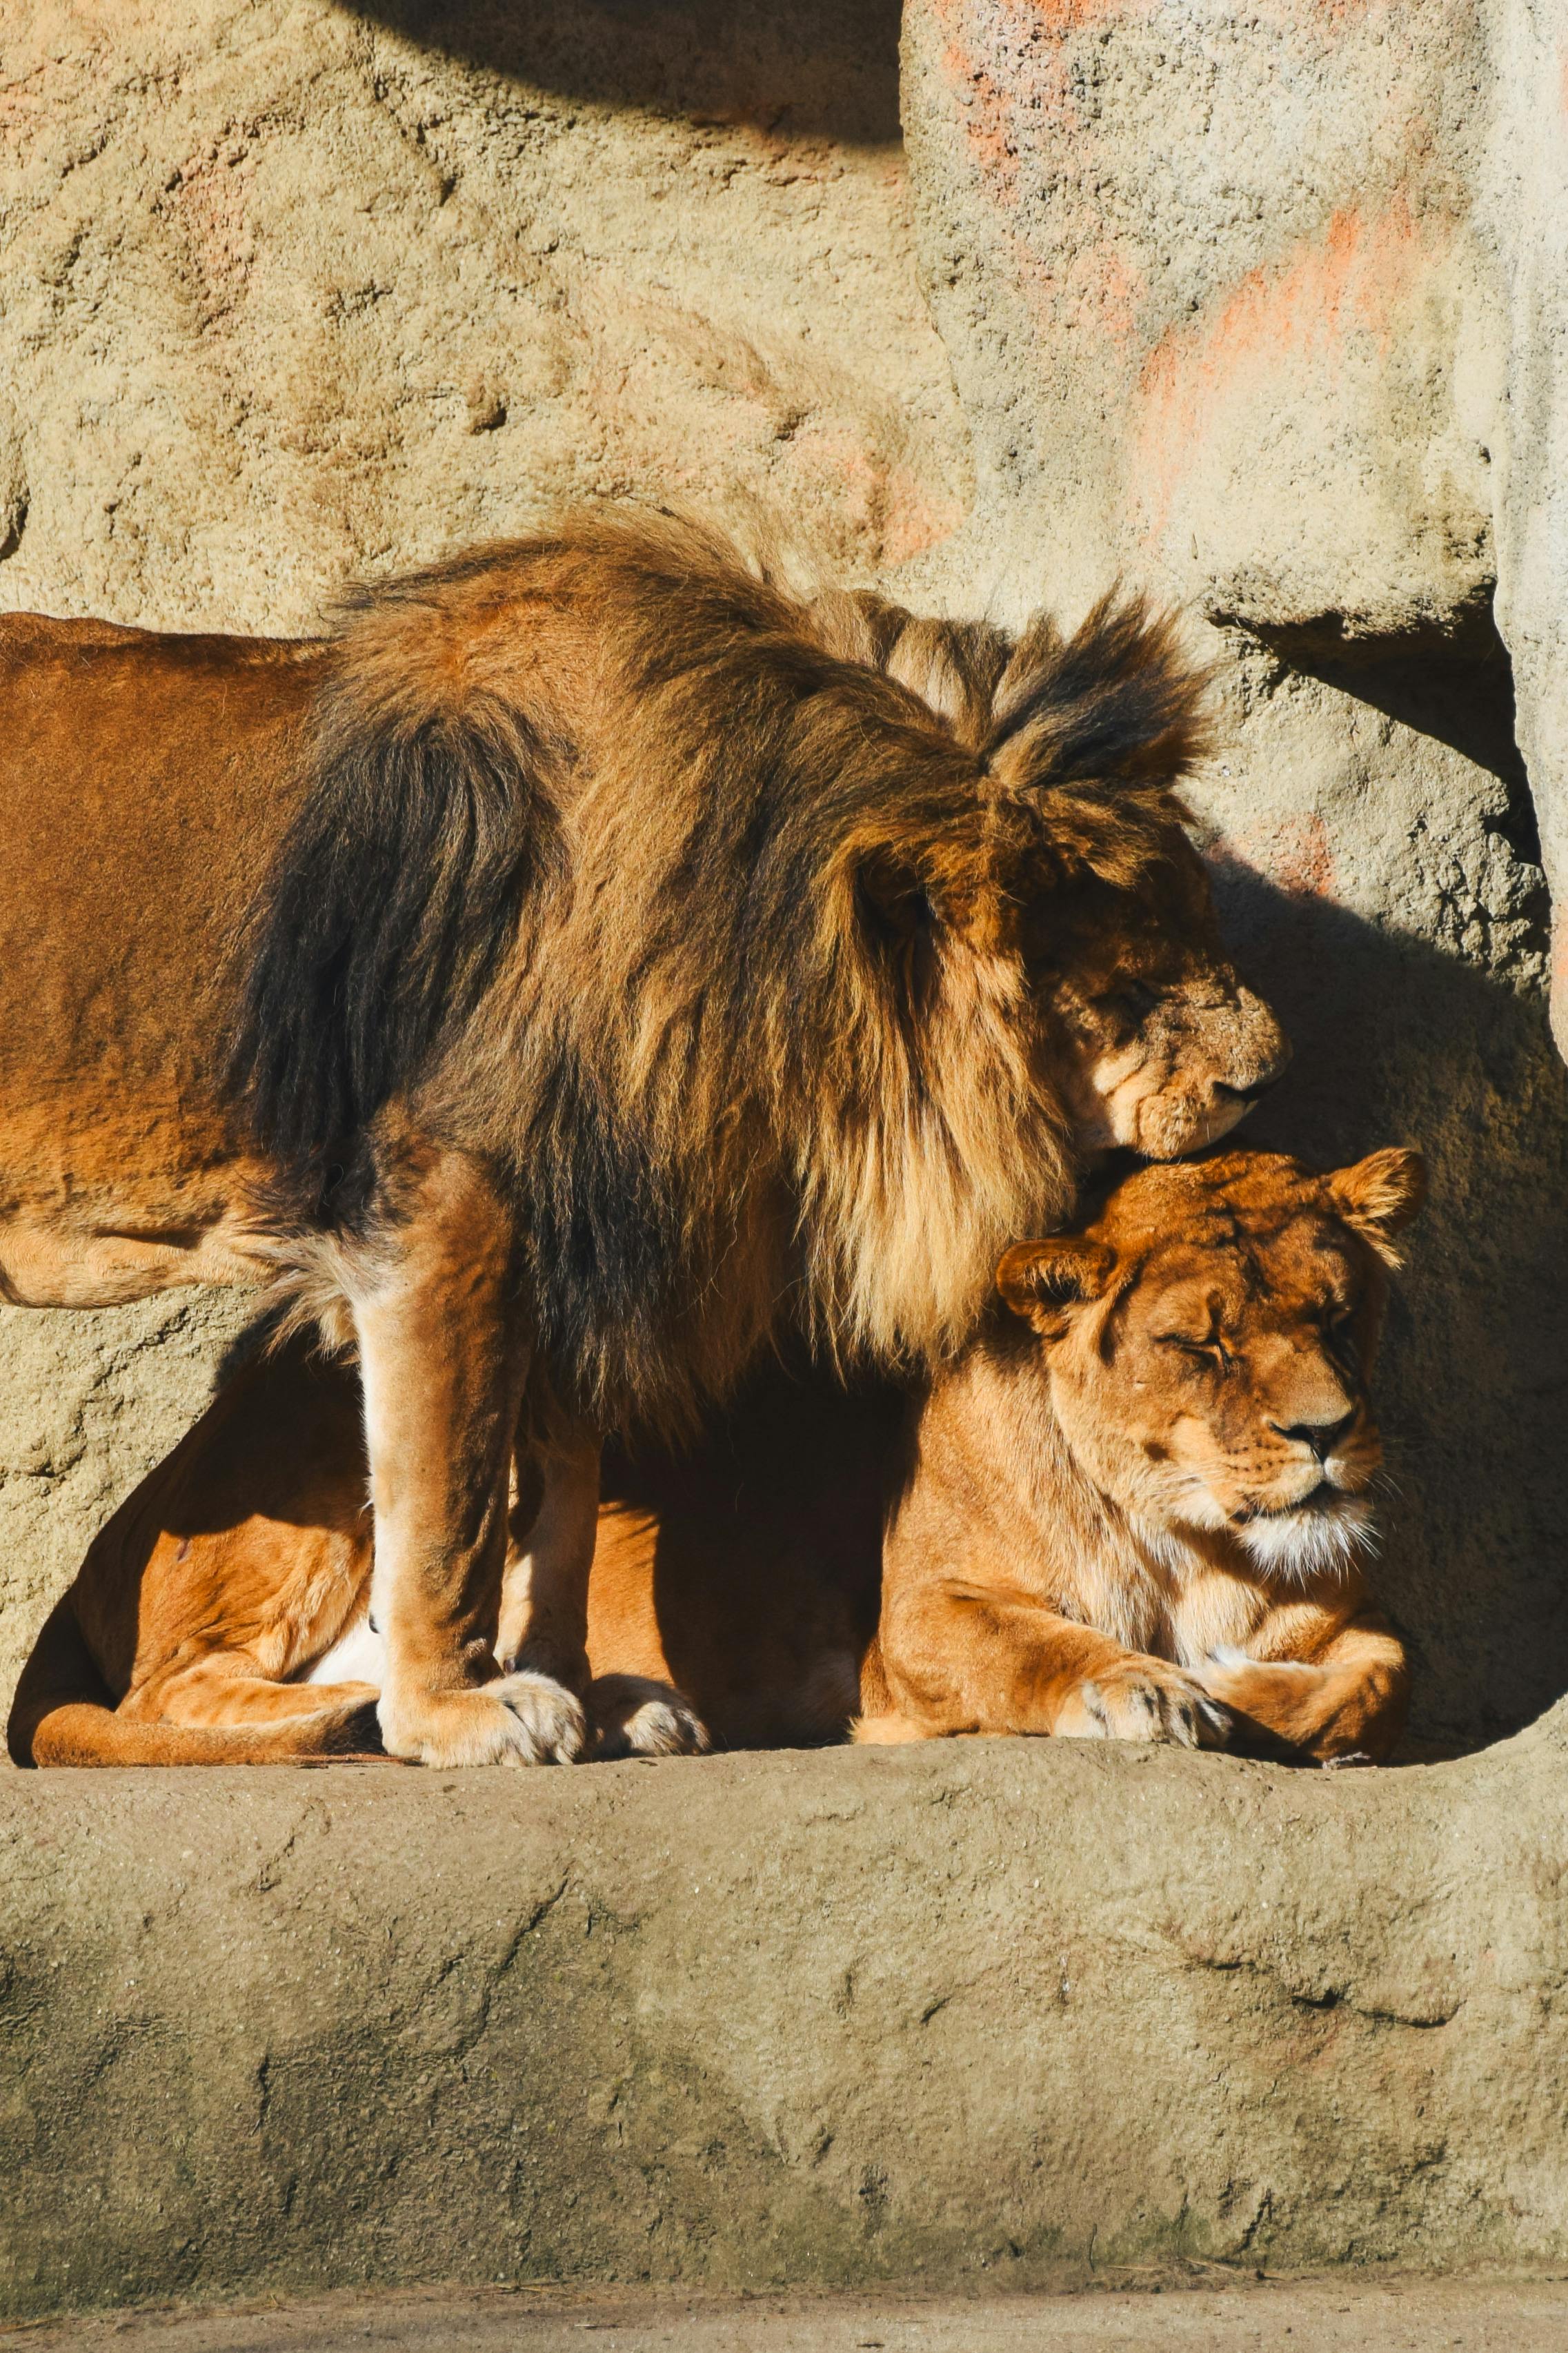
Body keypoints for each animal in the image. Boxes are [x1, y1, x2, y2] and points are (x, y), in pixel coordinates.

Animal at [0, 511, 1286, 1767]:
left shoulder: (582, 1243)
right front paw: (458, 1711)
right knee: (158, 1693)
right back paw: (357, 1713)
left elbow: (557, 1513)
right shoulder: (442, 1216)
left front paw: (574, 1692)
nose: (1266, 1075)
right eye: (1127, 989)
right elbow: (450, 1506)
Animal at [9, 1149, 1419, 1772]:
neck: (1198, 1546)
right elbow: (1044, 1649)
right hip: (331, 1451)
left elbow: (1379, 1672)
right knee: (174, 1692)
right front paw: (1151, 1692)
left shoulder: (1339, 1621)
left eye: (1336, 1314)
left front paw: (1251, 1695)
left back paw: (619, 1706)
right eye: (1201, 1343)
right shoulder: (914, 1622)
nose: (1326, 1431)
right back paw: (395, 1715)